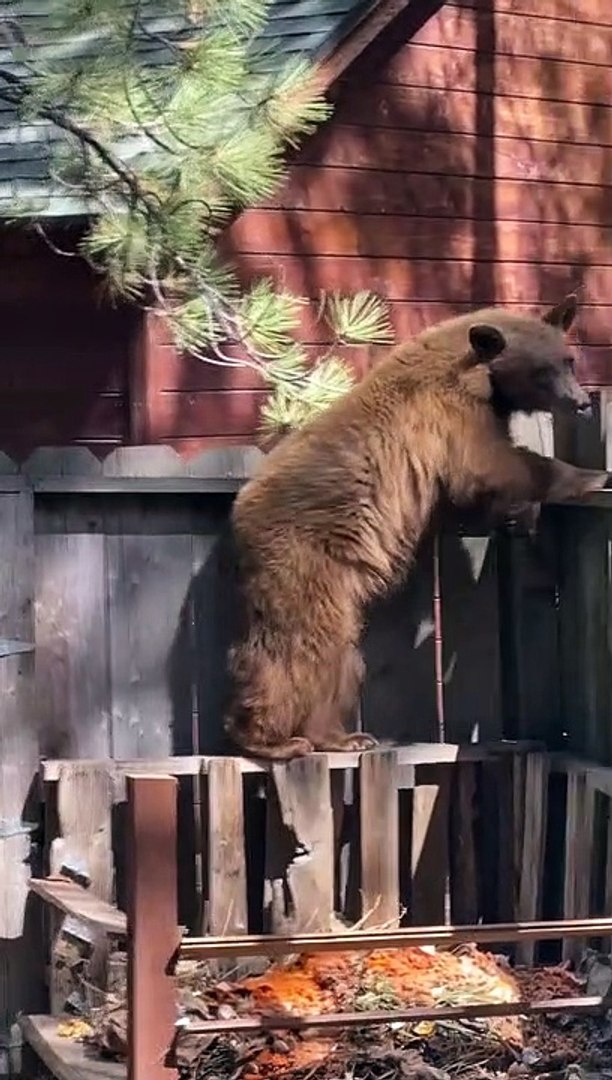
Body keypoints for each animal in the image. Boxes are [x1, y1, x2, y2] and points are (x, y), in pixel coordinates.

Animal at [225, 295, 609, 761]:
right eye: (542, 371)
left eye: (567, 360)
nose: (581, 401)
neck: (482, 374)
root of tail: (242, 510)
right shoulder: (452, 412)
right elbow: (491, 464)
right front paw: (592, 475)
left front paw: (524, 514)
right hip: (301, 555)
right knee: (302, 643)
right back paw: (268, 738)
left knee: (341, 653)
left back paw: (340, 736)